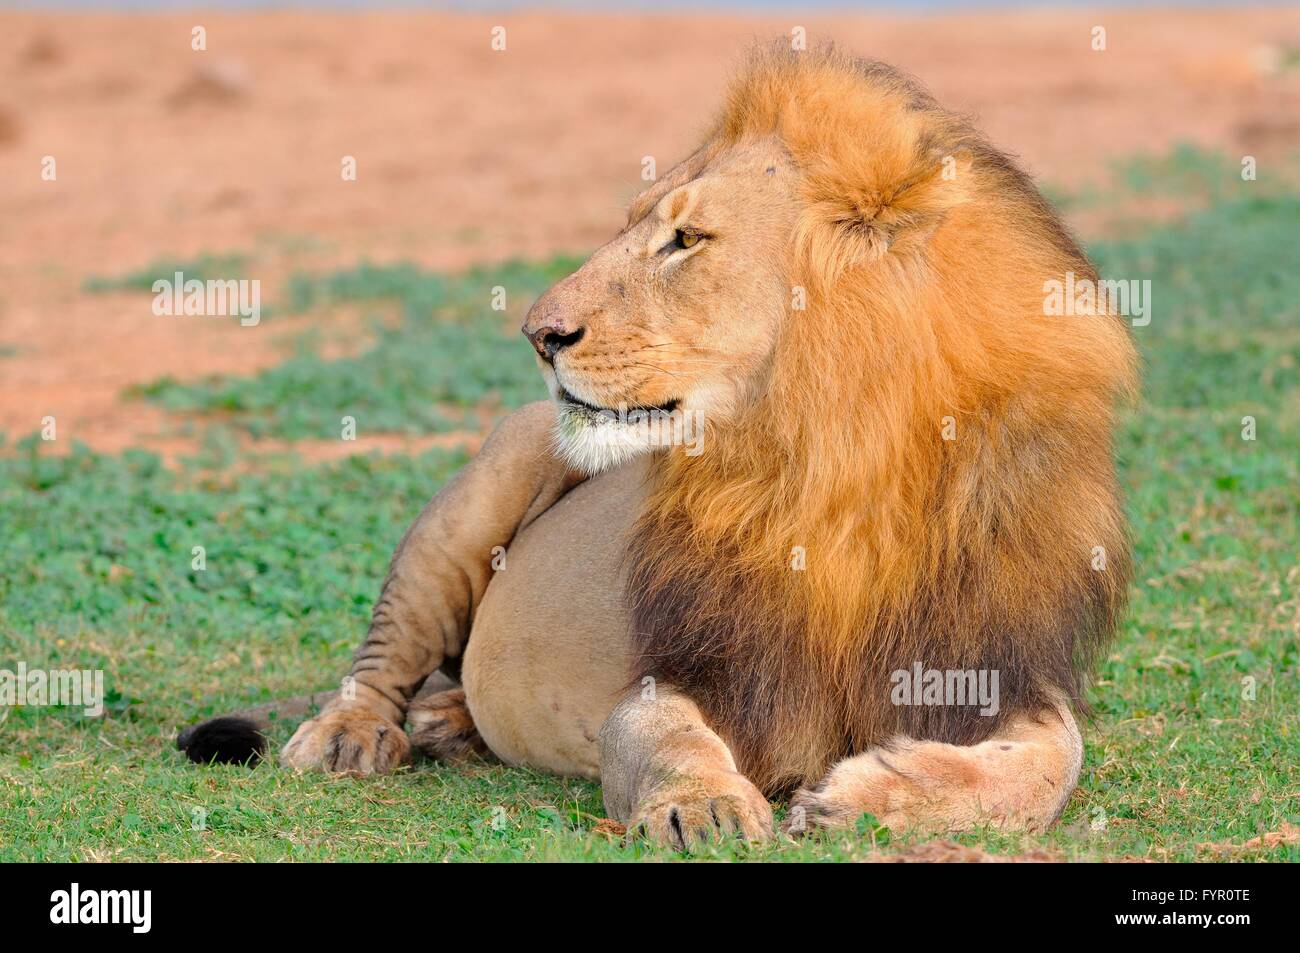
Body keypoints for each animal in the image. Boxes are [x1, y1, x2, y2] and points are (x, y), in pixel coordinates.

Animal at [178, 45, 1137, 848]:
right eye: (636, 224)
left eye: (686, 239)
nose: (538, 333)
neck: (833, 467)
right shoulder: (694, 665)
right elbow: (663, 734)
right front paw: (699, 805)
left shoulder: (994, 659)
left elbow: (1055, 761)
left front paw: (866, 797)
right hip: (477, 491)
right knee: (385, 652)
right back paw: (353, 733)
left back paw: (447, 723)